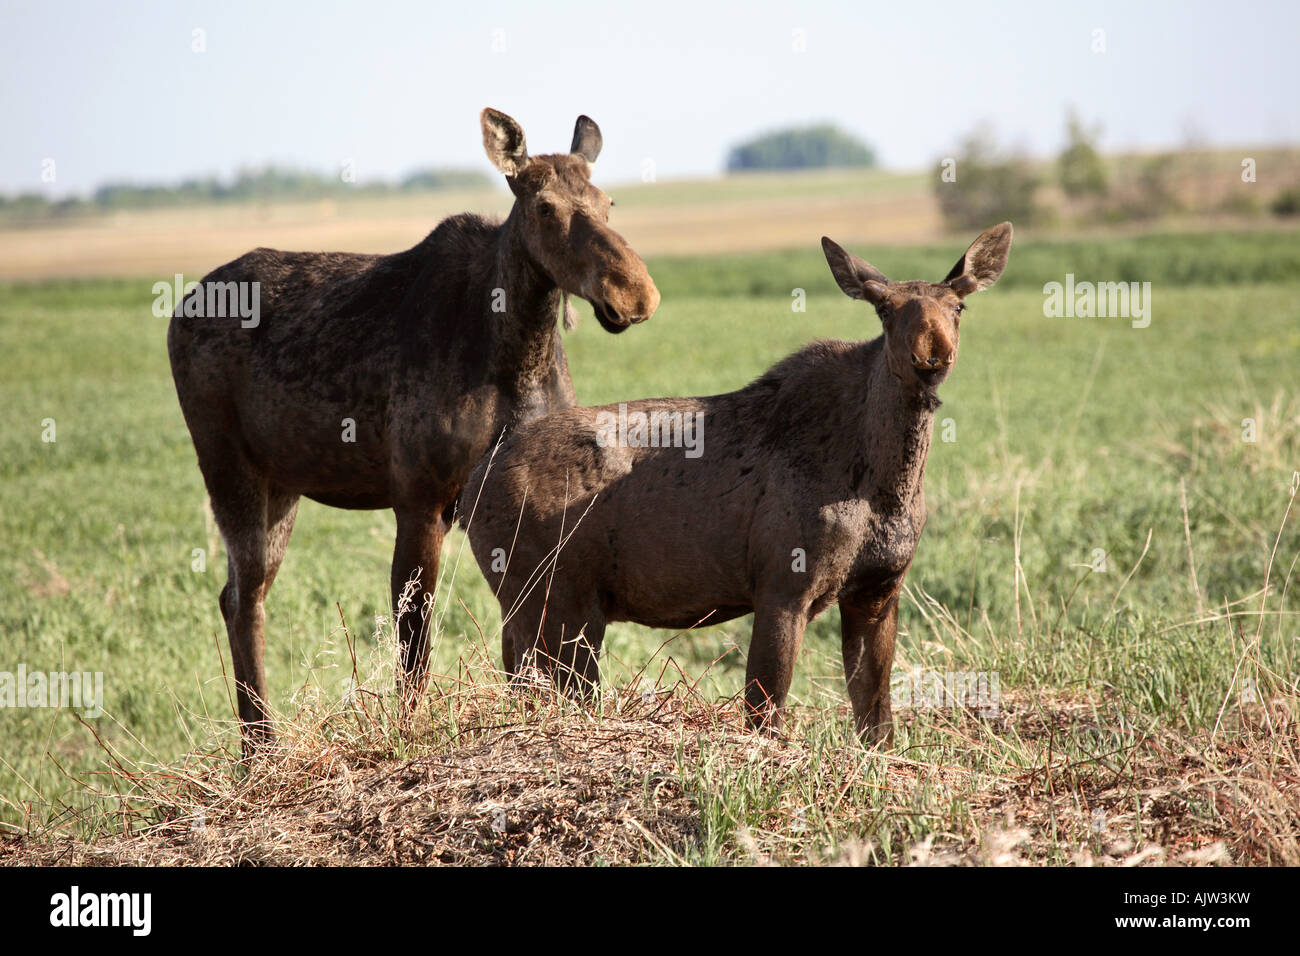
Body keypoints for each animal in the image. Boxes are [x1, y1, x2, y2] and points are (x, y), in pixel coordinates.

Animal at [168, 108, 660, 754]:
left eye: (608, 203)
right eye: (545, 207)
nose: (634, 292)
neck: (518, 353)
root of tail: (177, 313)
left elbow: (522, 641)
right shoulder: (420, 497)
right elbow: (416, 642)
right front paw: (407, 734)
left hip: (283, 485)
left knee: (239, 596)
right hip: (228, 467)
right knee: (243, 598)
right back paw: (259, 750)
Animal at [462, 223, 1011, 745]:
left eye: (958, 306)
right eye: (886, 310)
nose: (931, 354)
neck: (887, 485)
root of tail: (471, 490)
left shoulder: (879, 590)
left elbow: (876, 721)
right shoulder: (782, 586)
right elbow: (764, 711)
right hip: (556, 602)